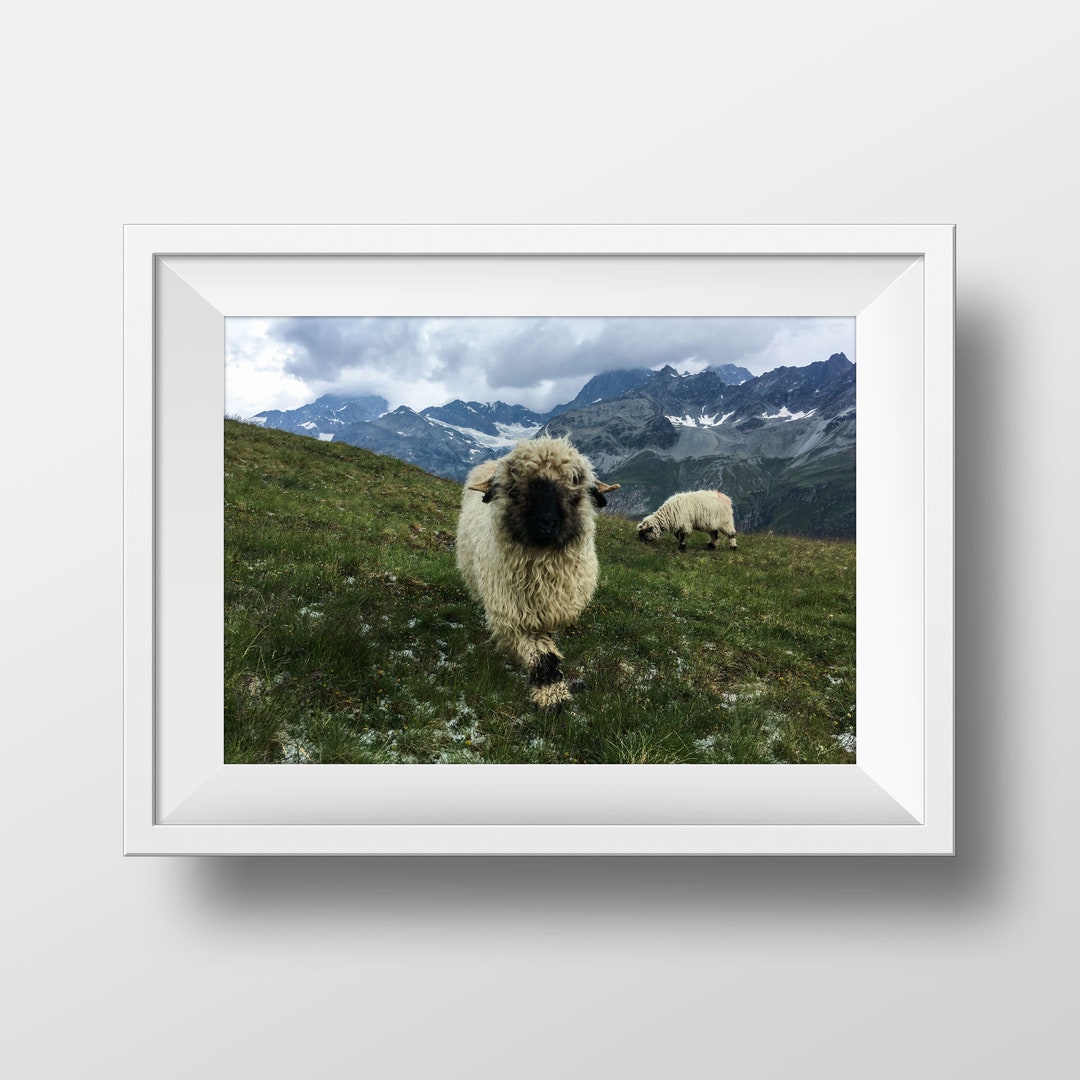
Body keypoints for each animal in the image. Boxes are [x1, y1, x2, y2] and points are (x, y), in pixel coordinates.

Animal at [456, 437, 619, 708]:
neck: (542, 571)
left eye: (574, 493)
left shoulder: (553, 609)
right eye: (514, 491)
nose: (545, 524)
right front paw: (552, 696)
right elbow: (543, 656)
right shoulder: (513, 616)